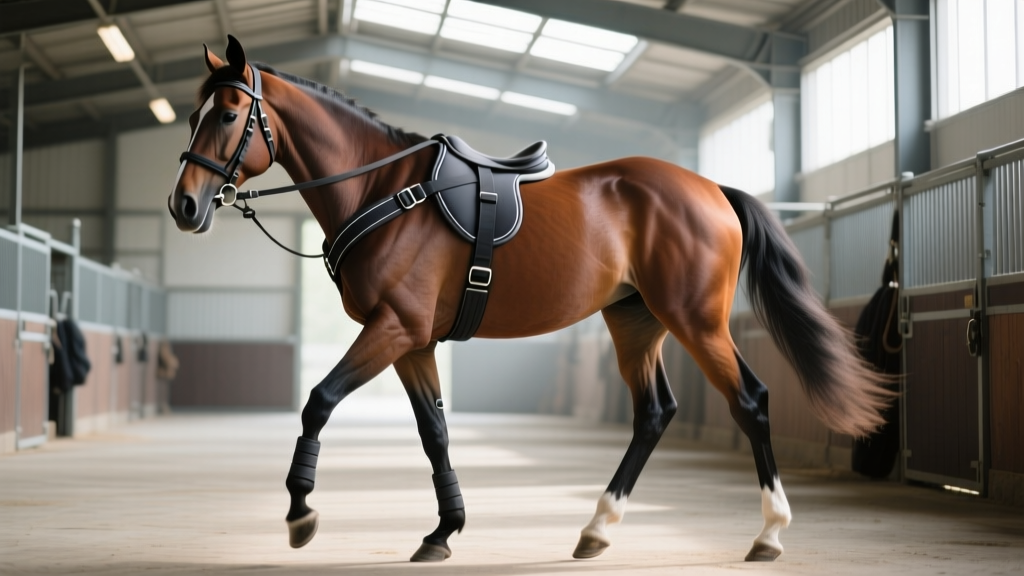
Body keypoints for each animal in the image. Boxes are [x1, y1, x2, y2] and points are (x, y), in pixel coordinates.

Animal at [167, 36, 891, 563]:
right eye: (194, 116)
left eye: (228, 115)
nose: (183, 207)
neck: (387, 191)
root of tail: (712, 188)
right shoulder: (412, 341)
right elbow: (434, 432)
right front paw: (444, 531)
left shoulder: (391, 329)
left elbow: (318, 401)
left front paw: (301, 513)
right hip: (635, 322)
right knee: (654, 412)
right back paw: (597, 529)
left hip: (696, 321)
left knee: (751, 400)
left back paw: (768, 533)